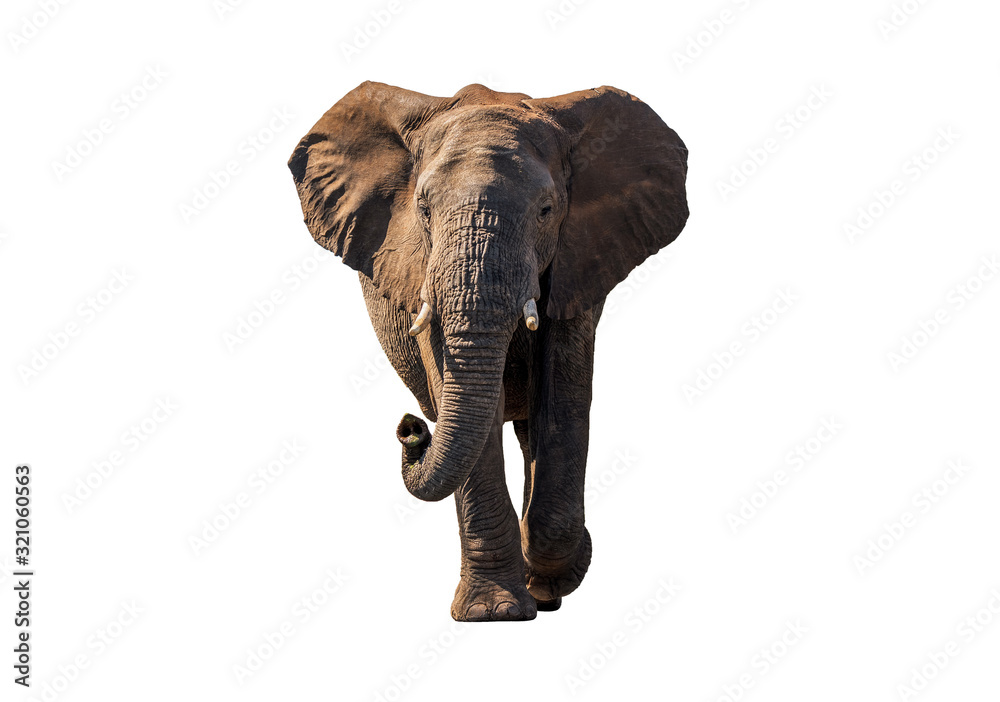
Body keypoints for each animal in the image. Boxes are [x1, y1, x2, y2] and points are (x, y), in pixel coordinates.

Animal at [288, 82, 688, 621]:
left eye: (546, 211)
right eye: (424, 210)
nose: (410, 429)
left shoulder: (579, 259)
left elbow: (563, 390)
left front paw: (556, 572)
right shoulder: (420, 268)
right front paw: (493, 613)